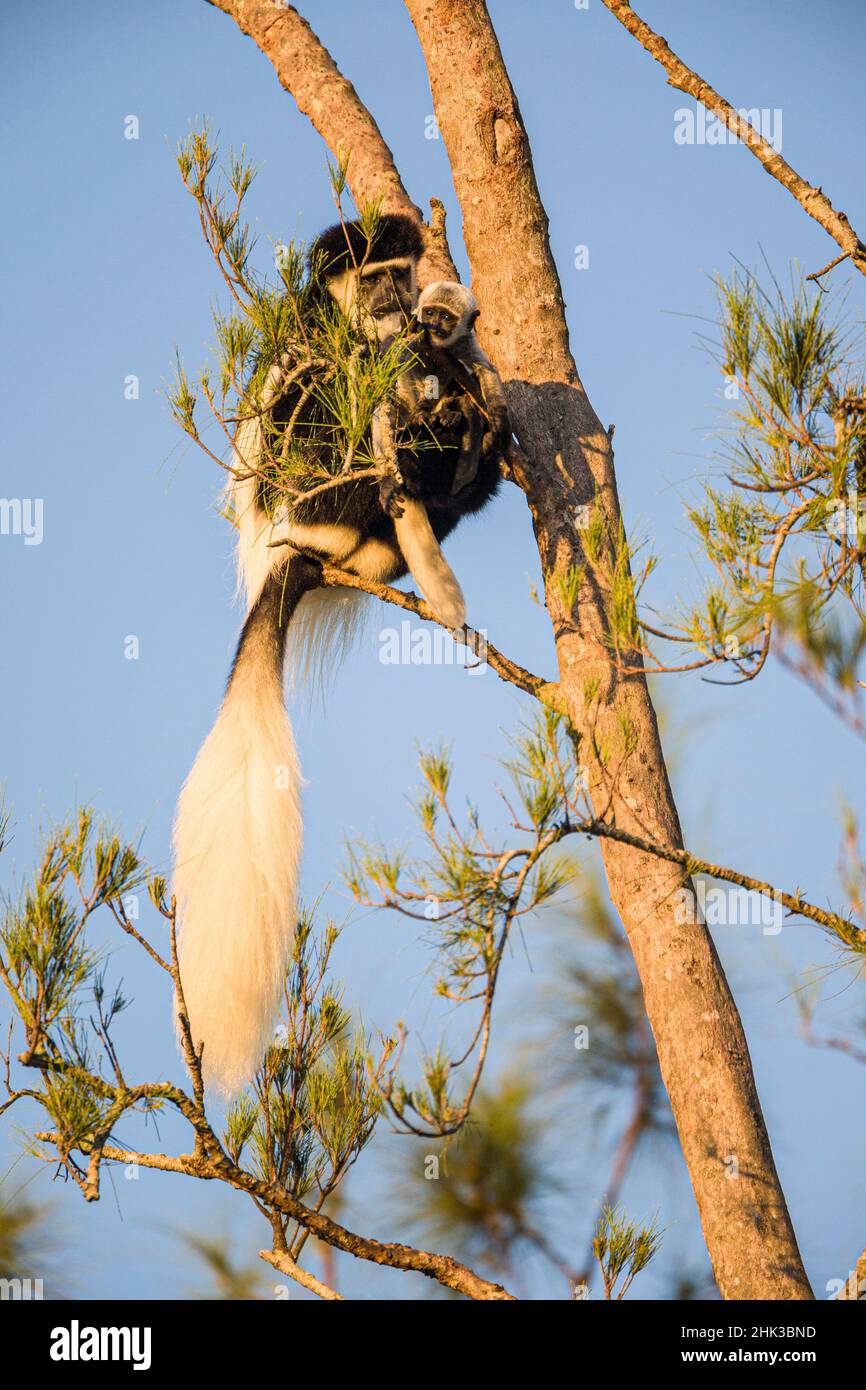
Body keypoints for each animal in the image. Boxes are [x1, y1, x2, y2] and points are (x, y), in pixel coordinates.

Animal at [173, 214, 502, 1092]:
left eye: (398, 271)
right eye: (370, 277)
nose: (394, 303)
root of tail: (293, 552)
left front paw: (455, 372)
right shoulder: (319, 336)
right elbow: (326, 384)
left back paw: (449, 469)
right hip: (308, 489)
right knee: (326, 404)